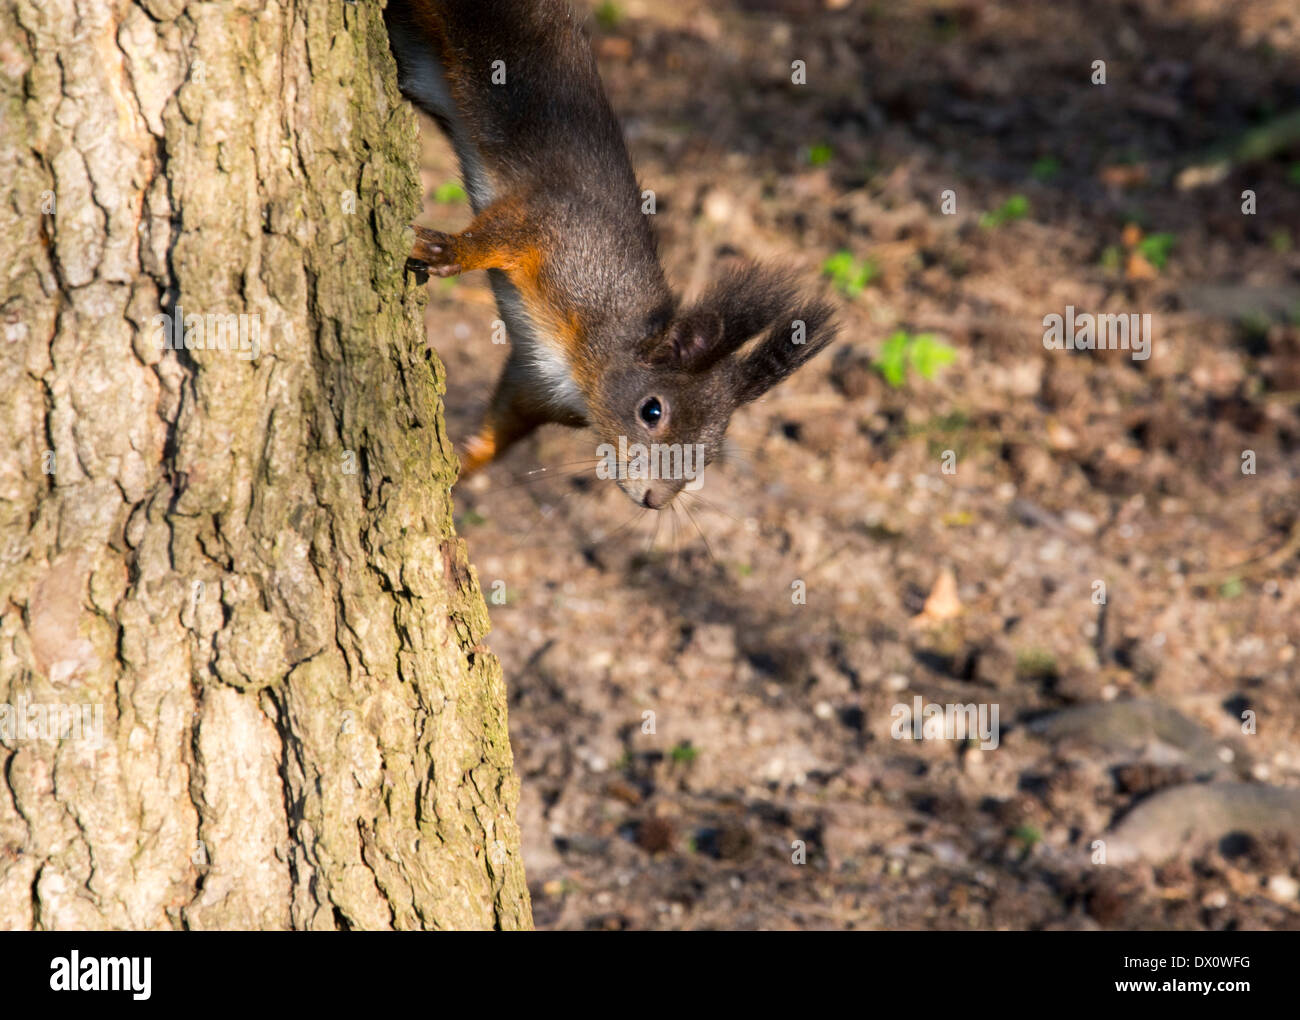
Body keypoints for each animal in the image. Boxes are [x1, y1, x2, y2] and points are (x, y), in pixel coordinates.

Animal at [384, 0, 836, 509]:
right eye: (651, 411)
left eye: (713, 451)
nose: (656, 500)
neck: (587, 364)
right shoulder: (561, 229)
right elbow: (506, 231)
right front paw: (448, 250)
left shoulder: (534, 386)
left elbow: (499, 428)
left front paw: (461, 466)